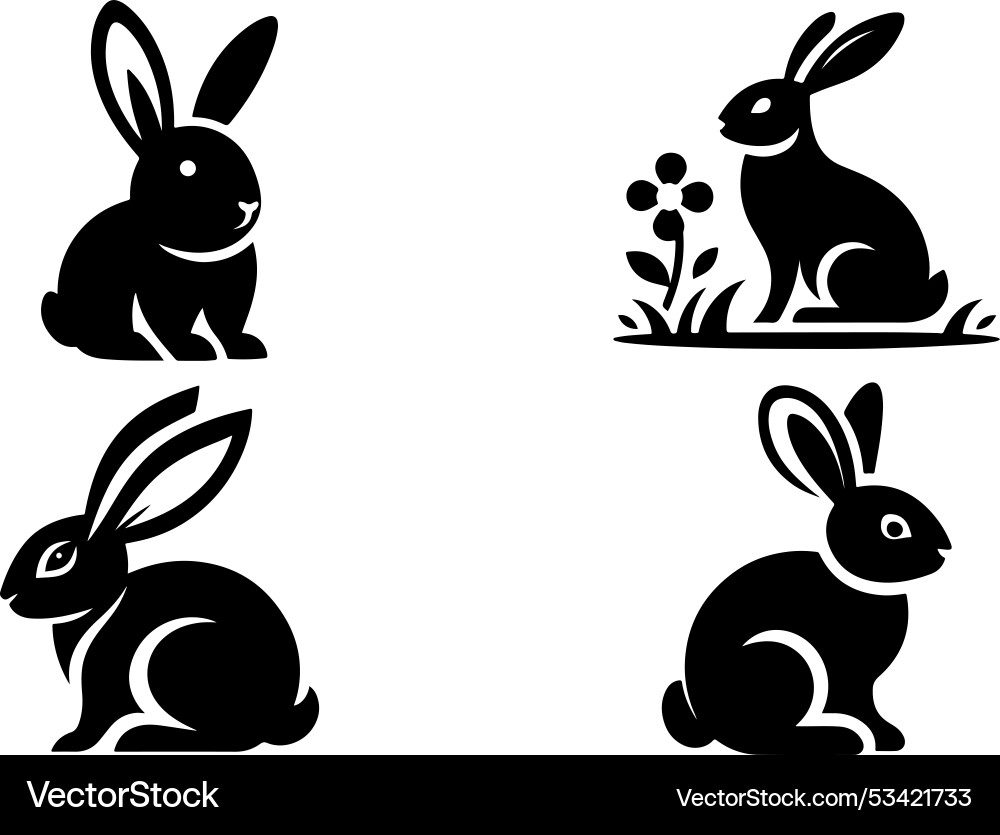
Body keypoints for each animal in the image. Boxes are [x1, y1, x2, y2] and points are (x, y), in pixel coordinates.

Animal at [0, 388, 318, 752]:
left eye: (58, 557)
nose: (5, 594)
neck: (106, 603)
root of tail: (275, 718)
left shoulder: (102, 680)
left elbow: (93, 719)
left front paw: (67, 744)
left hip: (177, 654)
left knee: (234, 738)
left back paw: (140, 738)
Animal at [41, 2, 278, 360]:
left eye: (240, 155)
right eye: (187, 168)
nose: (249, 206)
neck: (198, 253)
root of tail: (67, 325)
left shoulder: (231, 290)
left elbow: (228, 322)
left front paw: (246, 347)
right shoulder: (162, 291)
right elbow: (170, 324)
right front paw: (194, 350)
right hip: (103, 297)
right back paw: (134, 348)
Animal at [662, 383, 950, 754]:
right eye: (894, 527)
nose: (946, 547)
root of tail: (709, 721)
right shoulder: (849, 673)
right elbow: (859, 704)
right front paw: (887, 738)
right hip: (783, 661)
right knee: (760, 736)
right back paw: (838, 738)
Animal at [719, 12, 948, 324]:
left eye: (762, 105)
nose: (721, 120)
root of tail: (914, 299)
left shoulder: (783, 245)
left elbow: (781, 283)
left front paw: (763, 320)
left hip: (847, 261)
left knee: (870, 312)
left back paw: (812, 314)